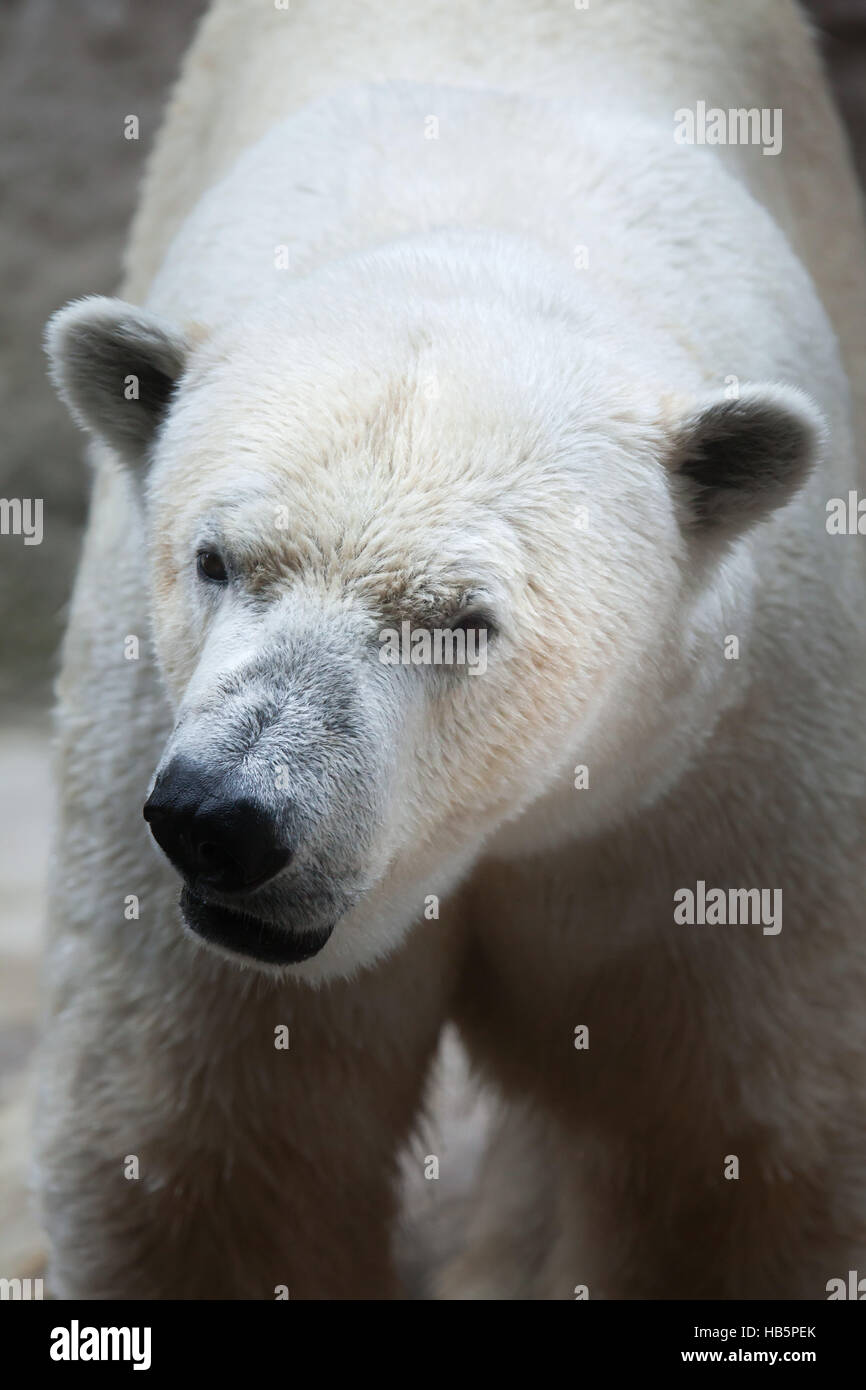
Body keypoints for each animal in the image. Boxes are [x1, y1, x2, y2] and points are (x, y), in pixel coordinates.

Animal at [38, 0, 866, 1299]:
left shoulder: (719, 784)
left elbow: (721, 1149)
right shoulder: (147, 742)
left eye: (458, 618)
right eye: (217, 559)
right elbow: (215, 1154)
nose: (224, 818)